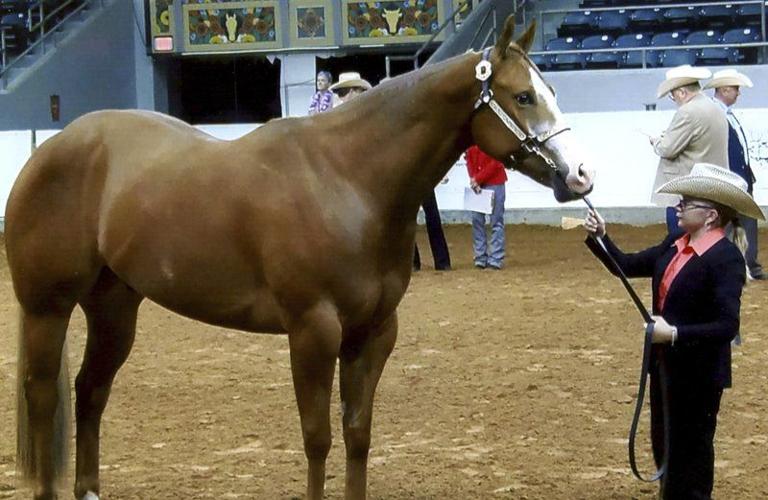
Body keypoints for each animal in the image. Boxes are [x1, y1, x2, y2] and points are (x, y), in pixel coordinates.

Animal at [5, 17, 593, 500]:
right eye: (522, 96)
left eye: (551, 90)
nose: (580, 177)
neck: (347, 178)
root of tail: (52, 147)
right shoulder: (313, 330)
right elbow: (317, 438)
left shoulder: (374, 332)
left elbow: (358, 435)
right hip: (46, 309)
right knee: (43, 396)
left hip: (114, 309)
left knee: (90, 392)